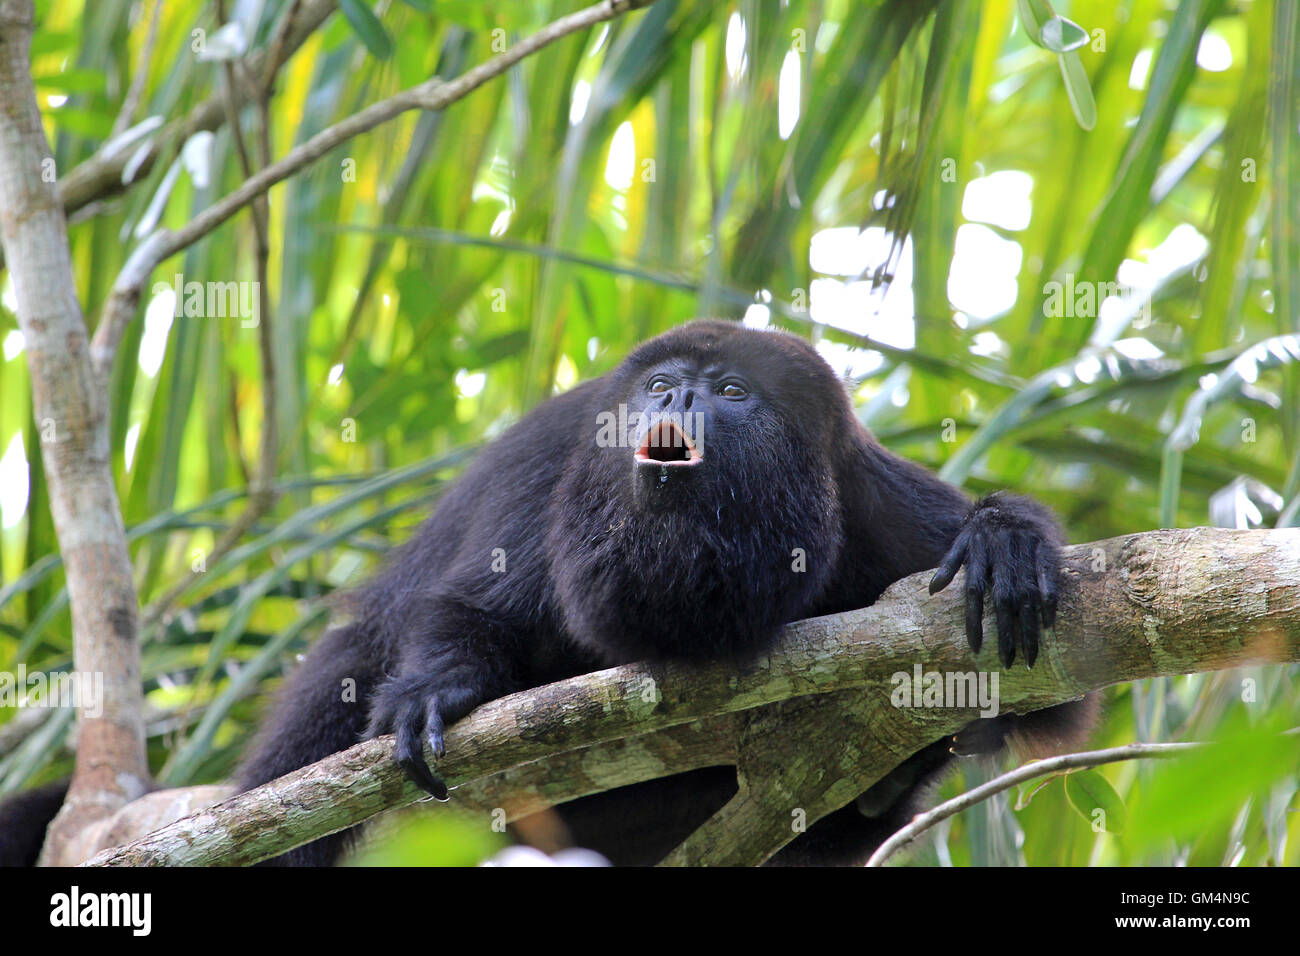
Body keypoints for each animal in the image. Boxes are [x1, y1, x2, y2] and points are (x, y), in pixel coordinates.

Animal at [0, 320, 1094, 866]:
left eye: (731, 389)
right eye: (659, 382)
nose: (675, 396)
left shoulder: (873, 505)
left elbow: (1051, 698)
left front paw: (1003, 538)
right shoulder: (566, 458)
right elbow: (467, 611)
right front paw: (441, 689)